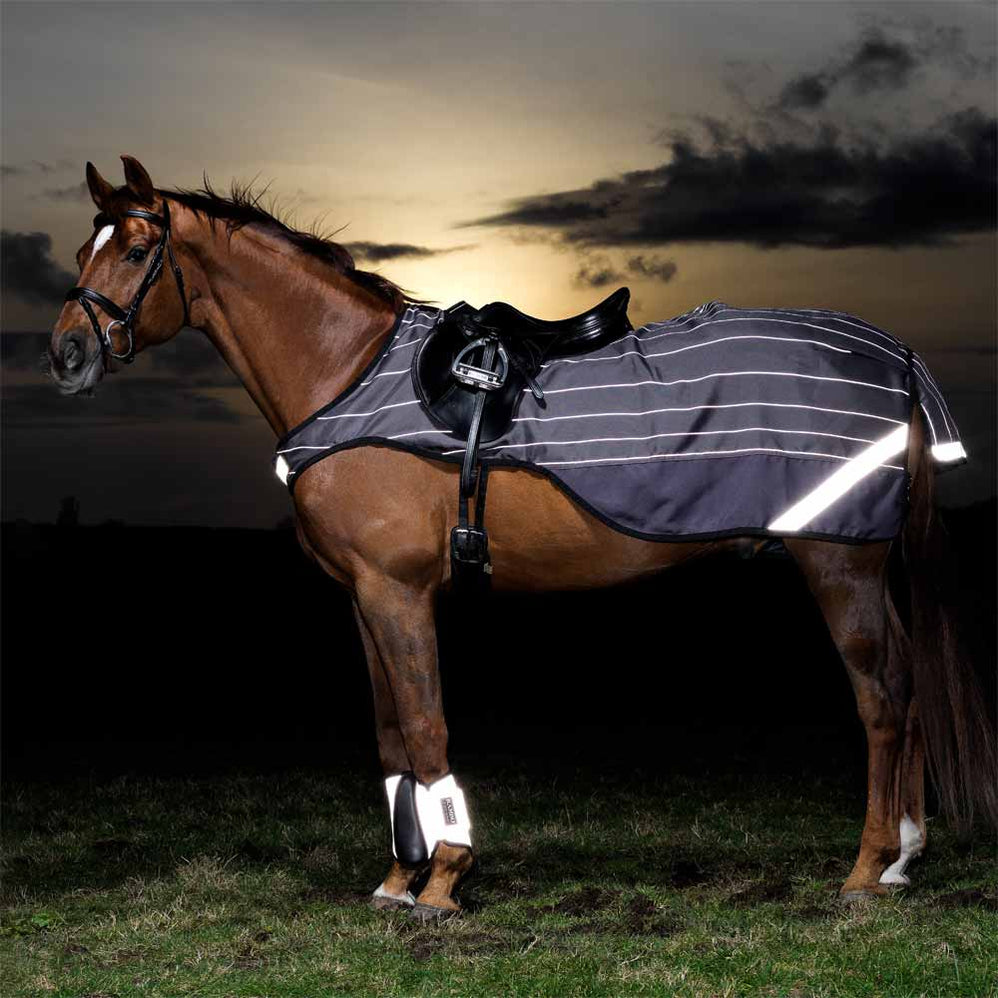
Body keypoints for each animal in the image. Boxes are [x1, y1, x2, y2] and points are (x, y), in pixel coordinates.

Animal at [47, 155, 997, 920]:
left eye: (135, 250)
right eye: (85, 248)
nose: (65, 356)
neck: (344, 372)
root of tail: (894, 358)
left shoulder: (399, 592)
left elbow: (426, 726)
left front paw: (441, 881)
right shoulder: (364, 598)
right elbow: (391, 736)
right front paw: (398, 879)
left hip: (838, 563)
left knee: (883, 699)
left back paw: (867, 869)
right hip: (863, 568)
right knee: (907, 689)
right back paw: (904, 858)